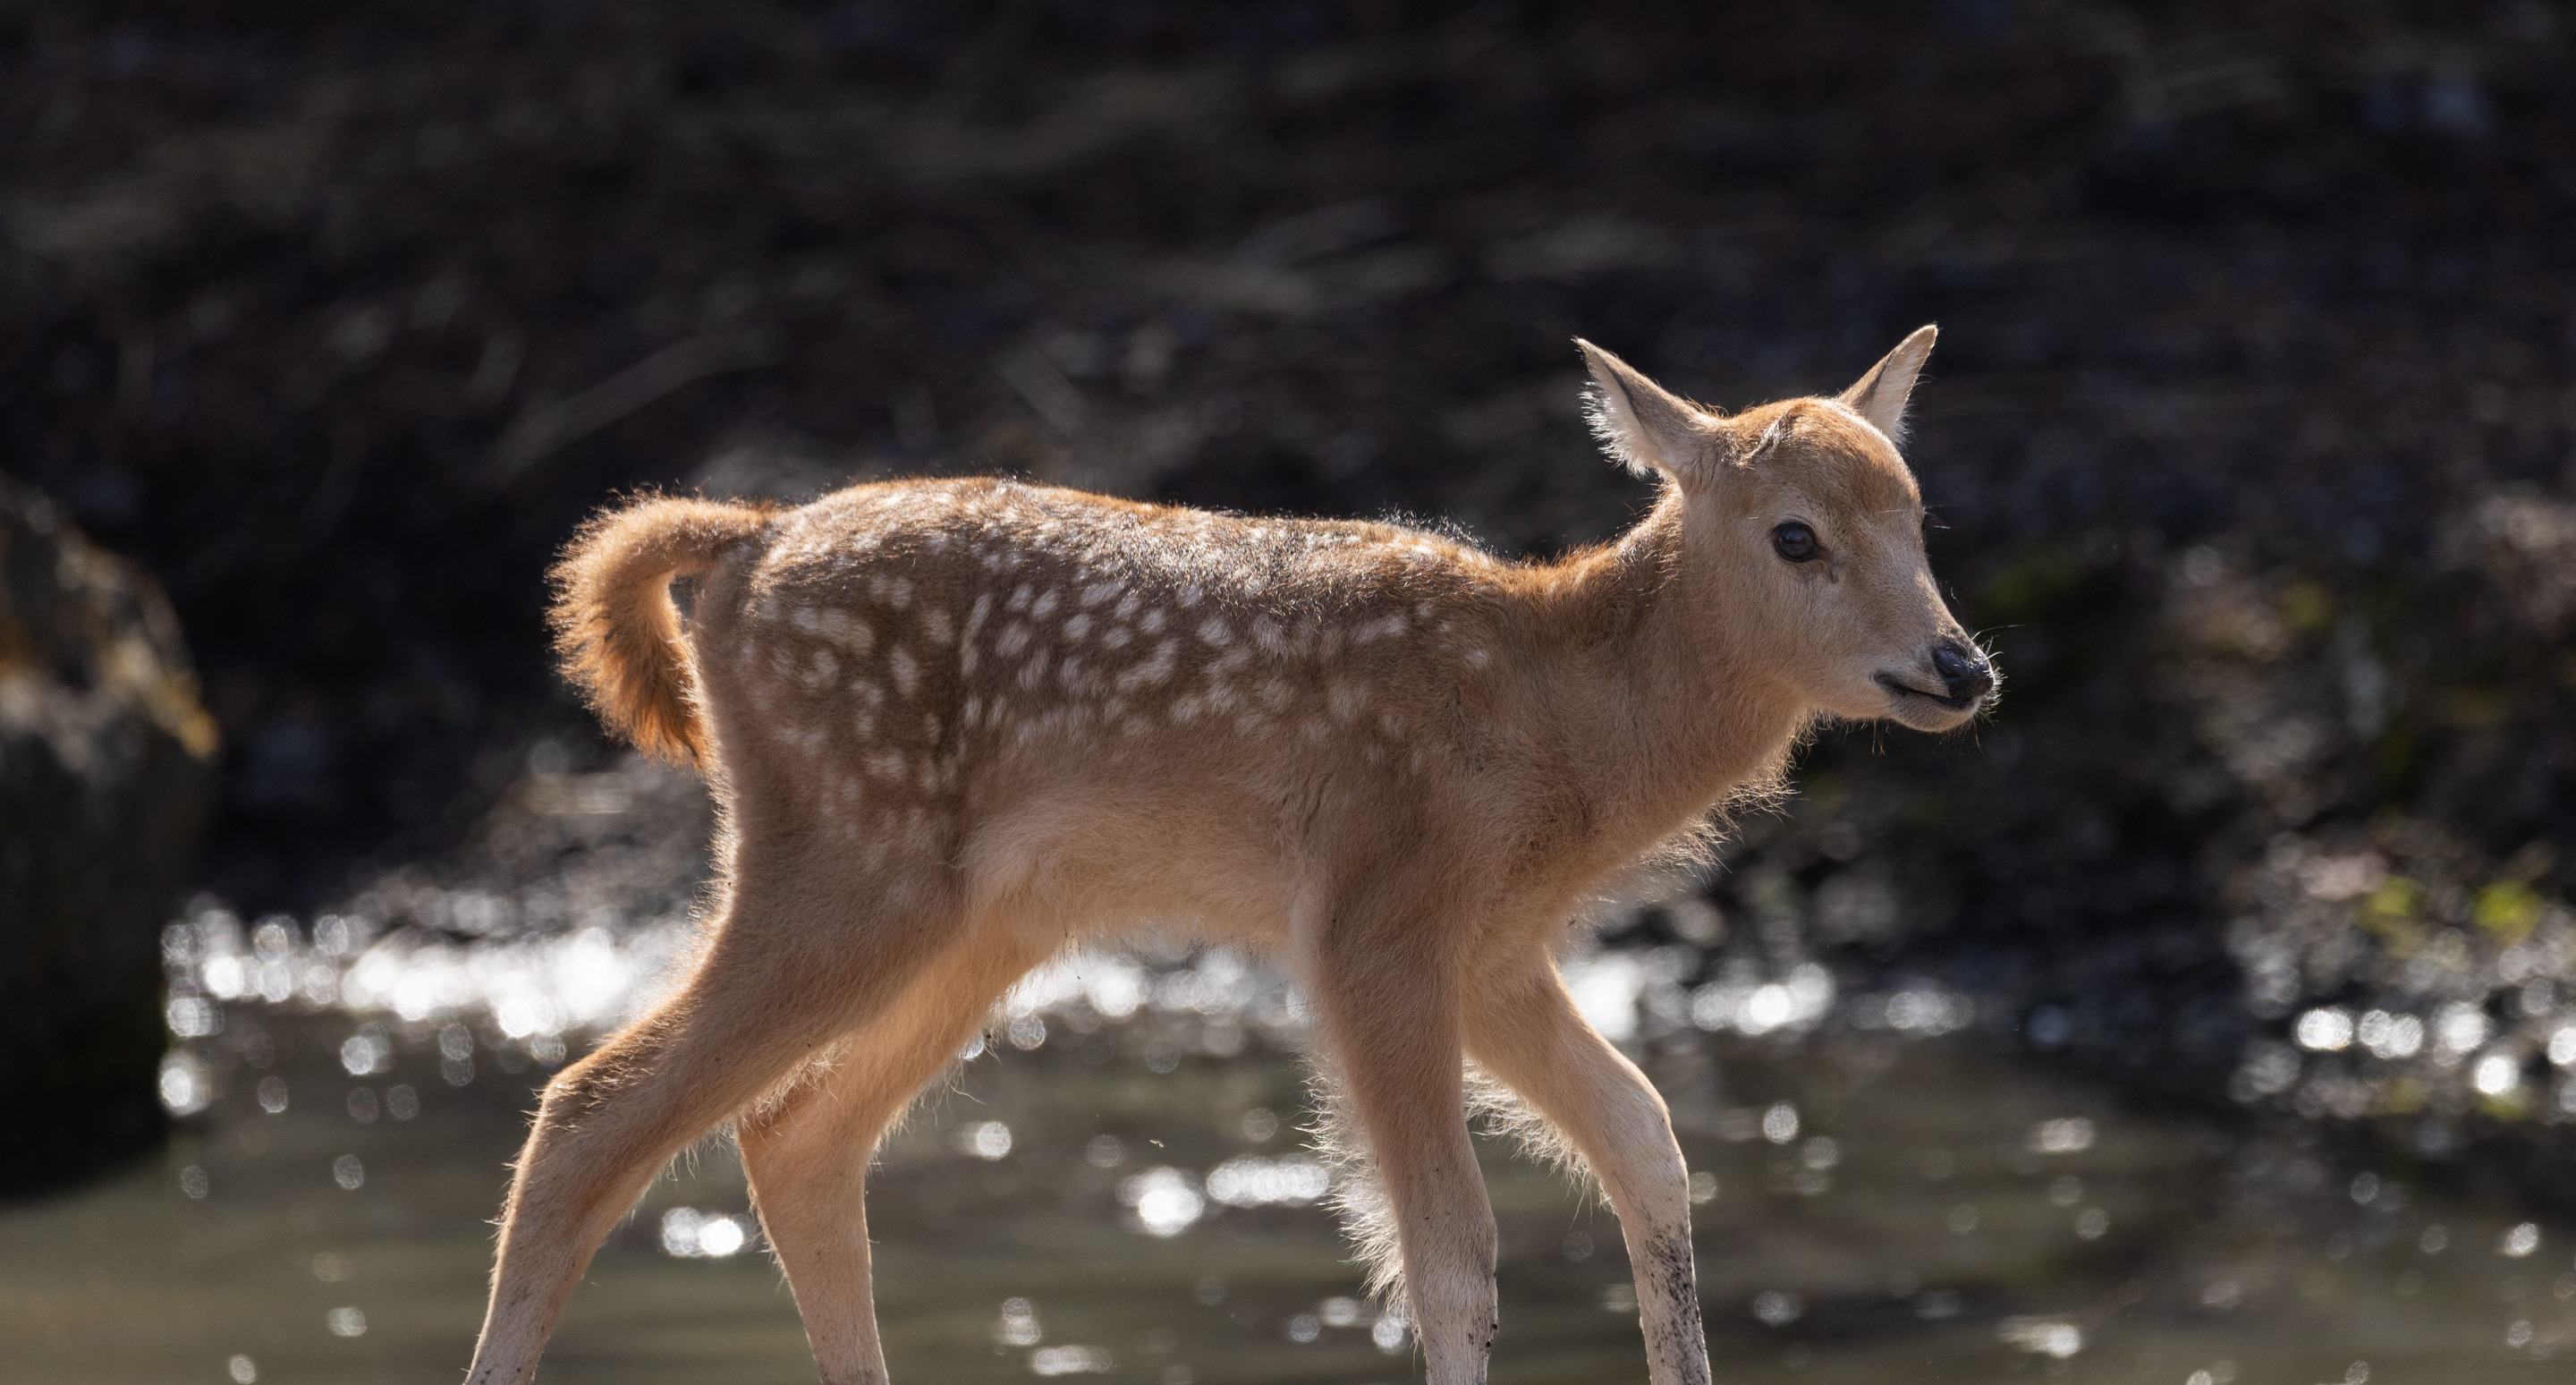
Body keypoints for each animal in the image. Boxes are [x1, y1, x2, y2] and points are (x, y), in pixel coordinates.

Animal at [464, 327, 1994, 1385]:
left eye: (1921, 517)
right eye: (1795, 536)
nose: (1960, 665)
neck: (1559, 716)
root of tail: (743, 541)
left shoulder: (1496, 951)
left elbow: (1648, 1144)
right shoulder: (1375, 921)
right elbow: (1451, 1250)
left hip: (981, 920)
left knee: (796, 1139)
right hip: (844, 865)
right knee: (591, 1111)